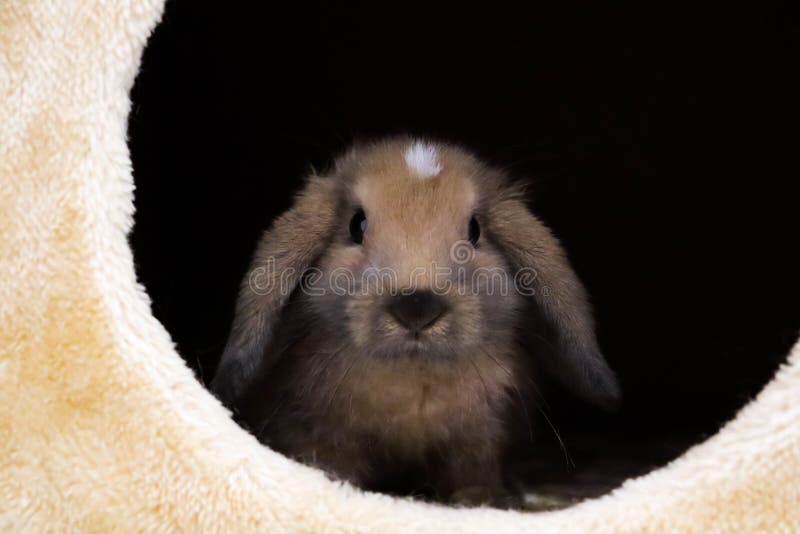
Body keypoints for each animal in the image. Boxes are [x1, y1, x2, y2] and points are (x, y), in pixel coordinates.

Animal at [210, 137, 621, 507]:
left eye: (475, 230)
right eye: (356, 225)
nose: (417, 307)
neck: (411, 374)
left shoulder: (480, 436)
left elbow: (472, 471)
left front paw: (478, 499)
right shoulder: (315, 432)